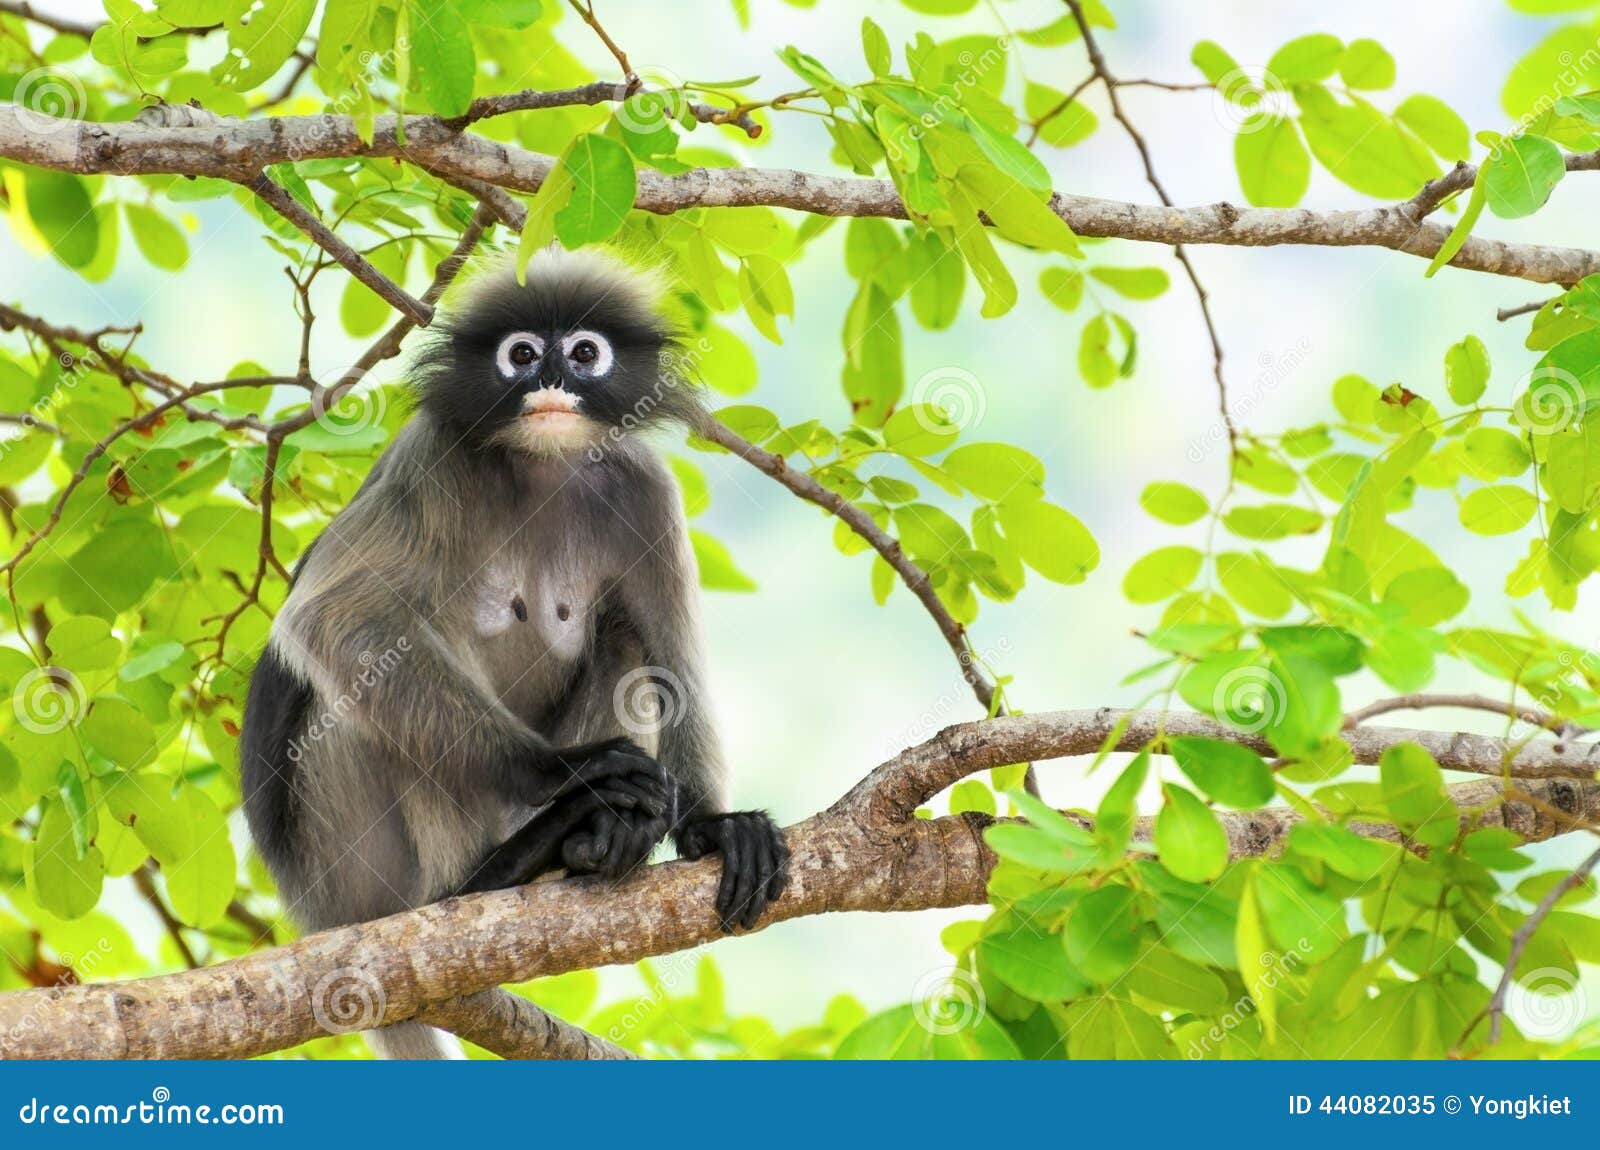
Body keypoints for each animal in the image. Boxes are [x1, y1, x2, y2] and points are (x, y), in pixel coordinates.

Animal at [239, 249, 789, 1059]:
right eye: (522, 355)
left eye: (584, 353)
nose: (552, 380)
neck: (544, 464)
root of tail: (318, 910)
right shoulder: (431, 459)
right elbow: (334, 620)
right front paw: (568, 772)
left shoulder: (645, 490)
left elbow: (674, 664)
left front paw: (710, 829)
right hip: (353, 865)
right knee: (361, 683)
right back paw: (493, 873)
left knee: (626, 637)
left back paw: (601, 838)